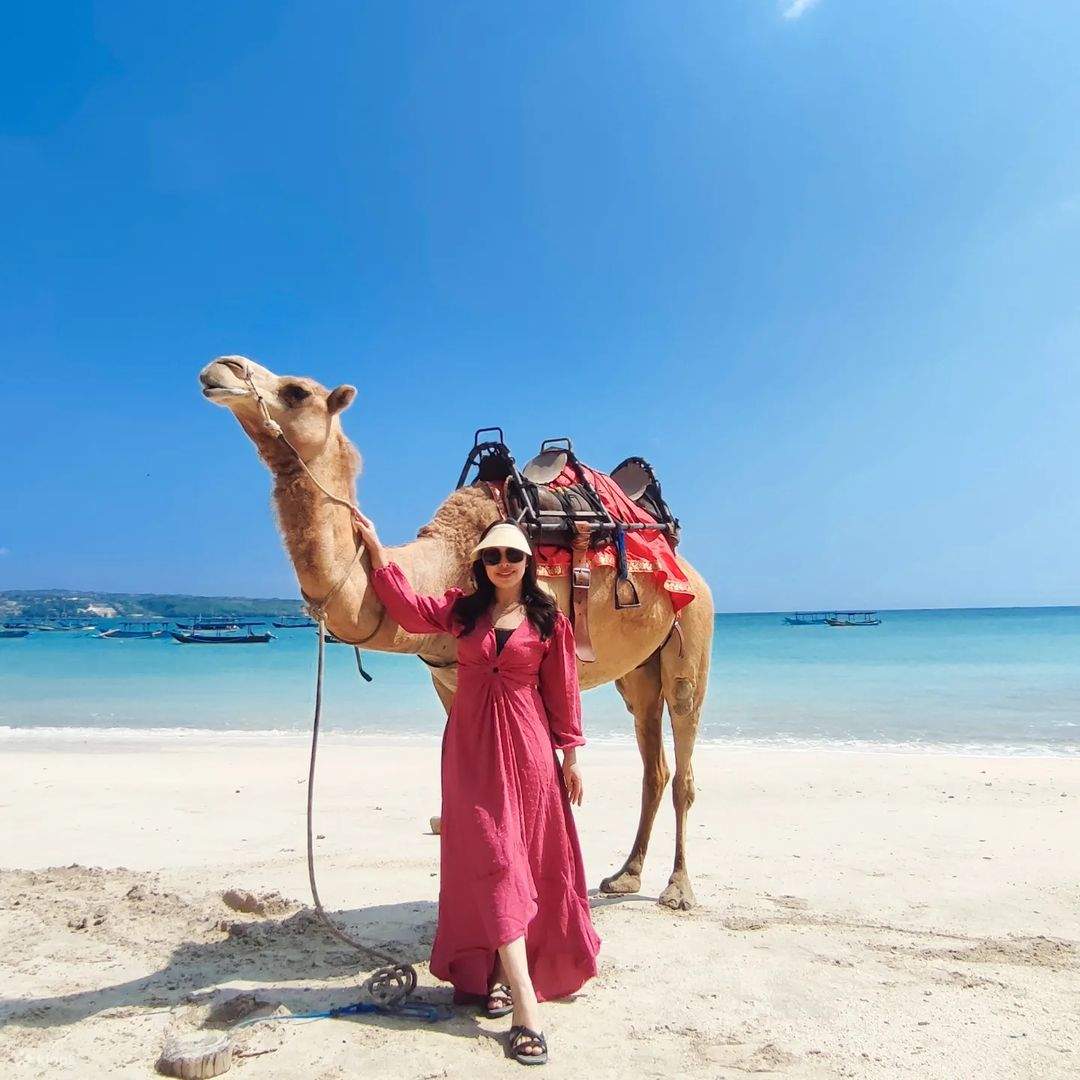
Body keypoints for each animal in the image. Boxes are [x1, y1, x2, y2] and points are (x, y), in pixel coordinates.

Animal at [198, 355, 714, 910]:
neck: (450, 561)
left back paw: (678, 888)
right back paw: (625, 875)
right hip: (638, 669)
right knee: (652, 759)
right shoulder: (447, 679)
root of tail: (683, 560)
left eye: (296, 392)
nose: (220, 368)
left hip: (693, 630)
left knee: (683, 746)